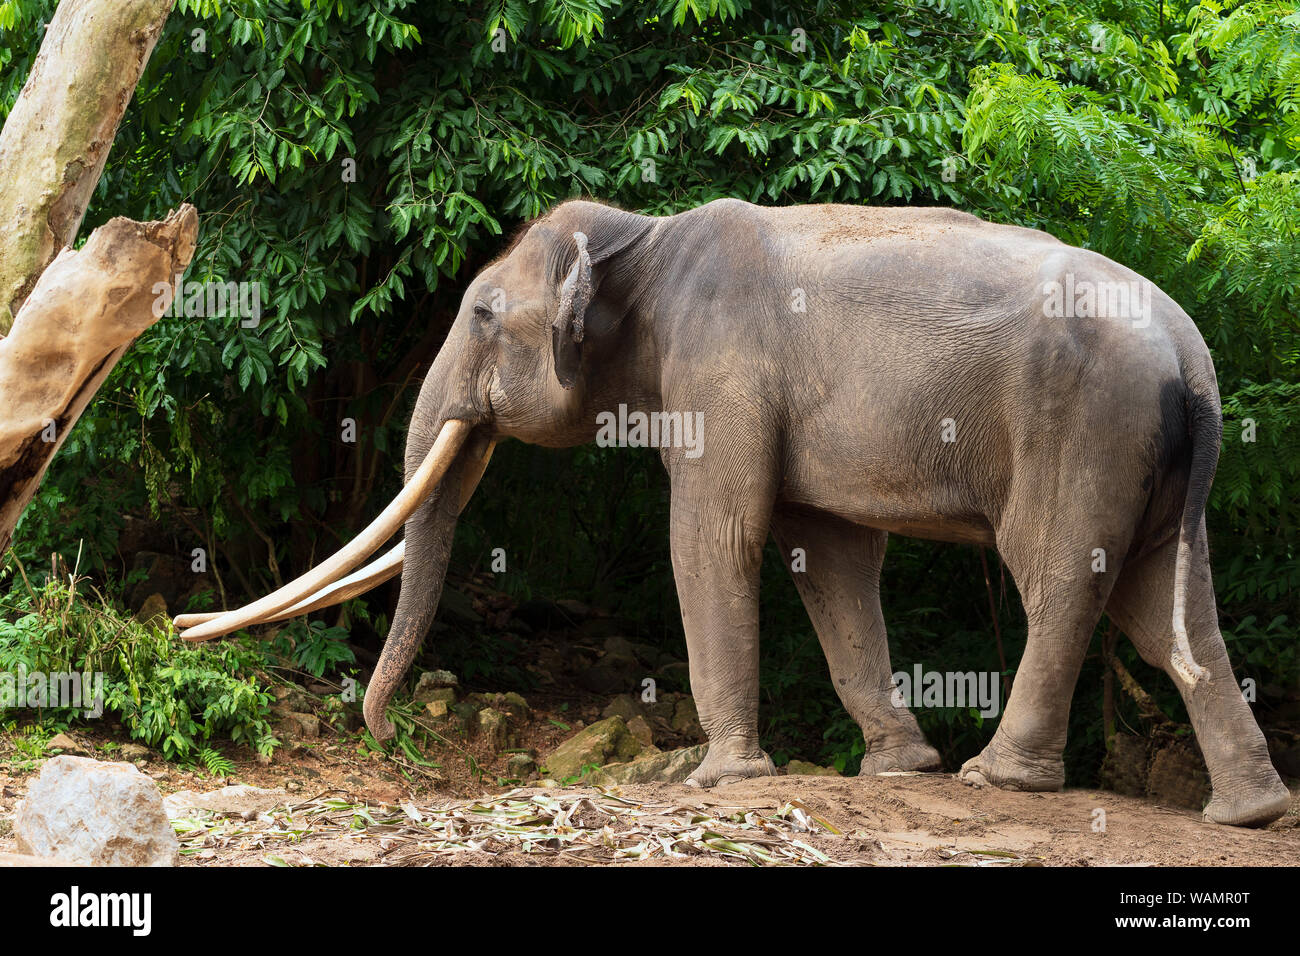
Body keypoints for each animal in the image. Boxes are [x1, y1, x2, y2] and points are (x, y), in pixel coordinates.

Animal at [176, 197, 1292, 828]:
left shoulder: (721, 368)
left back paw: (996, 780)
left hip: (1082, 427)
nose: (387, 737)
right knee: (1164, 602)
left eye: (483, 314)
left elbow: (711, 537)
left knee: (1062, 577)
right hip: (1149, 456)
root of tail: (1193, 351)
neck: (641, 236)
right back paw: (1248, 810)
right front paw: (896, 765)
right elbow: (825, 556)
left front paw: (721, 778)